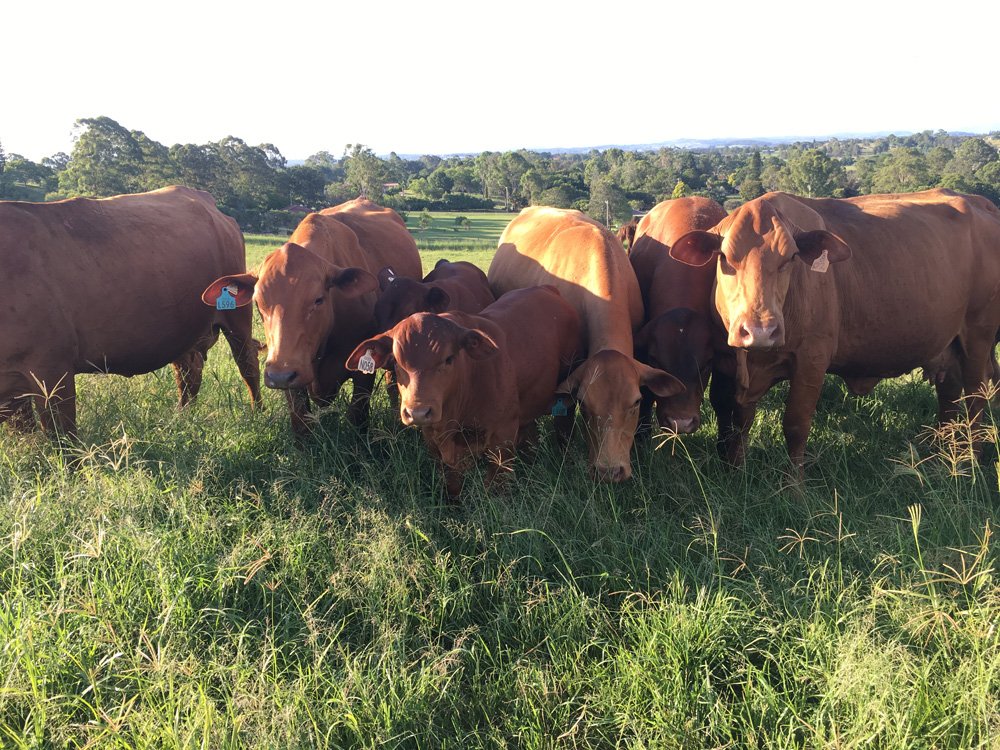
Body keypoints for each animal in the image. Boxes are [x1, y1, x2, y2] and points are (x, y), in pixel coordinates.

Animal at [0, 186, 261, 437]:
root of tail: (203, 198)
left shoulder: (53, 373)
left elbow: (63, 439)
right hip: (182, 330)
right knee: (189, 372)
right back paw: (182, 418)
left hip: (237, 319)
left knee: (248, 365)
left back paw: (257, 416)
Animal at [203, 198, 421, 437]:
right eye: (258, 303)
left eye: (318, 299)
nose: (279, 375)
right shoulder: (293, 374)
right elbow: (301, 423)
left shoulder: (364, 370)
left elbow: (358, 415)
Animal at [346, 286, 581, 499]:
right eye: (396, 361)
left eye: (449, 358)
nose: (418, 412)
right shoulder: (433, 440)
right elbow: (452, 484)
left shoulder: (503, 437)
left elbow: (495, 488)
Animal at [669, 189, 1000, 471]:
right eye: (725, 257)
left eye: (790, 258)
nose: (760, 330)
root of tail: (980, 202)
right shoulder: (729, 366)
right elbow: (736, 421)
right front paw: (736, 472)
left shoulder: (811, 361)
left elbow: (796, 425)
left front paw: (795, 489)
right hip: (951, 343)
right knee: (950, 394)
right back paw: (946, 455)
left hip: (978, 336)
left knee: (976, 396)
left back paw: (972, 458)